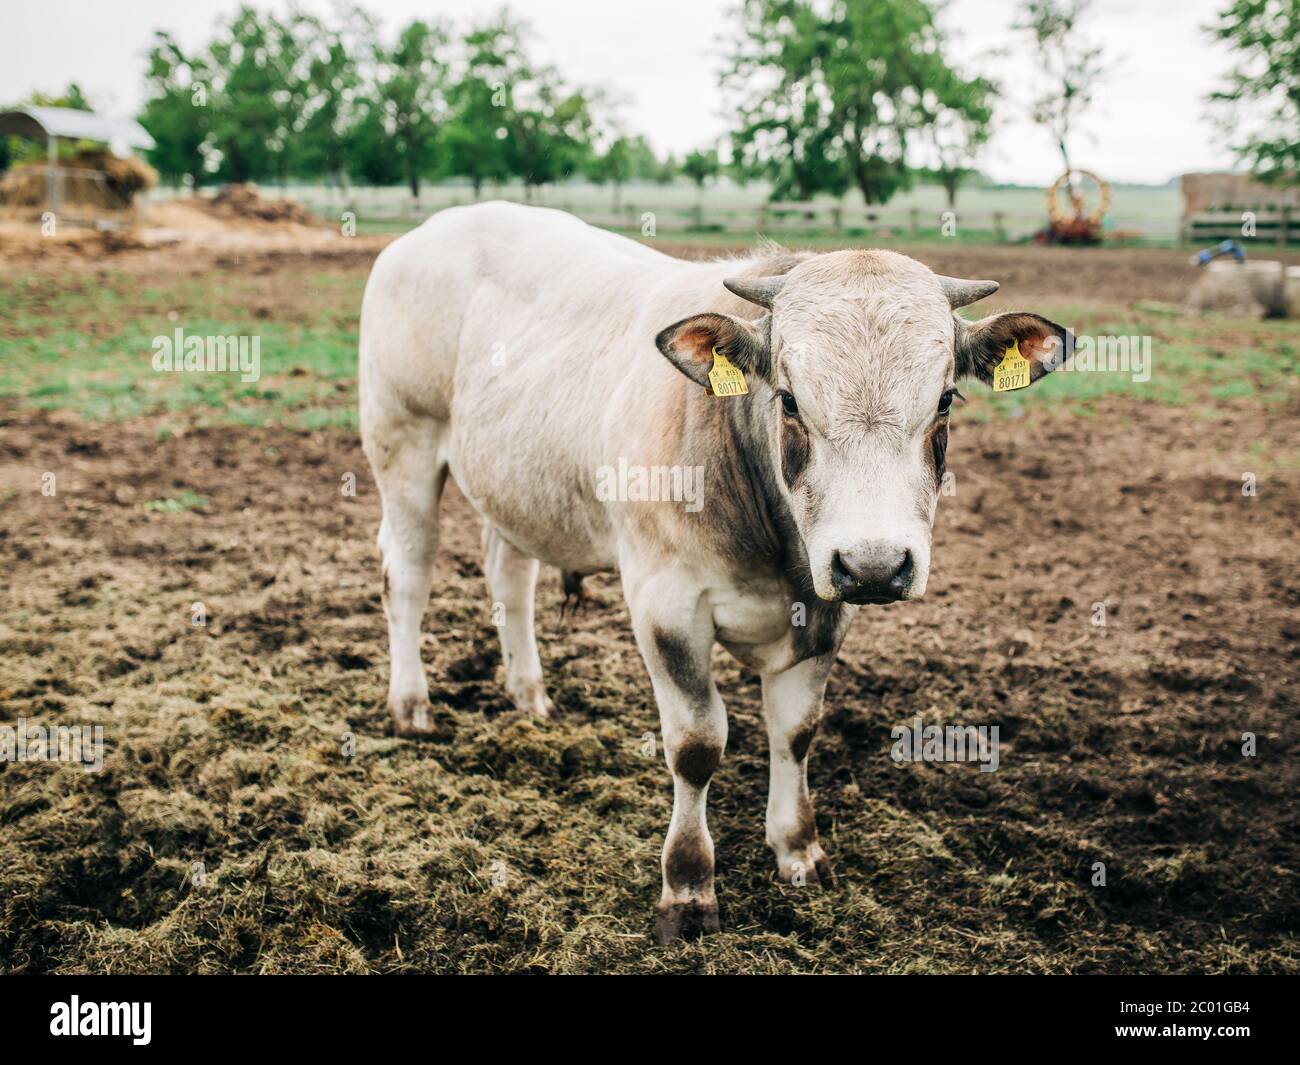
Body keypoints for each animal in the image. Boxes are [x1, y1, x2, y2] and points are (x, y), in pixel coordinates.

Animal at [358, 201, 1071, 943]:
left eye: (946, 399)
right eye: (788, 399)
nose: (874, 564)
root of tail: (443, 225)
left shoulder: (827, 607)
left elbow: (796, 731)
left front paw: (798, 851)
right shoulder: (666, 604)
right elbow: (698, 745)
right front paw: (687, 888)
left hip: (515, 484)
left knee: (509, 579)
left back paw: (531, 697)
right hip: (403, 447)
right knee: (406, 577)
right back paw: (411, 705)